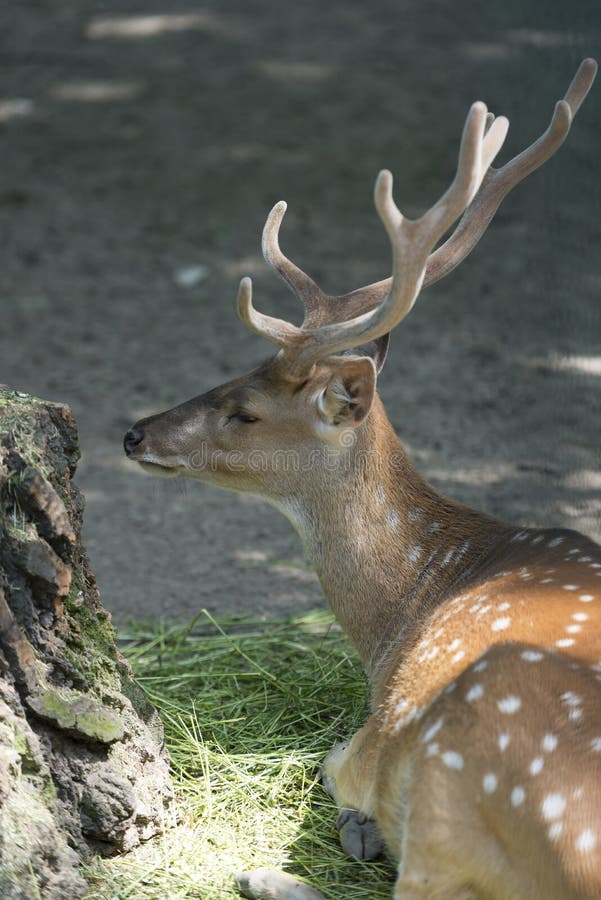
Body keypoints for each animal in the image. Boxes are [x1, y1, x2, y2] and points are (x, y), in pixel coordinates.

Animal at [123, 59, 599, 900]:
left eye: (245, 412)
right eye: (228, 376)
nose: (133, 432)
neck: (401, 614)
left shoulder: (362, 748)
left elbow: (327, 759)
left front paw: (355, 828)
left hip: (456, 777)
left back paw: (277, 869)